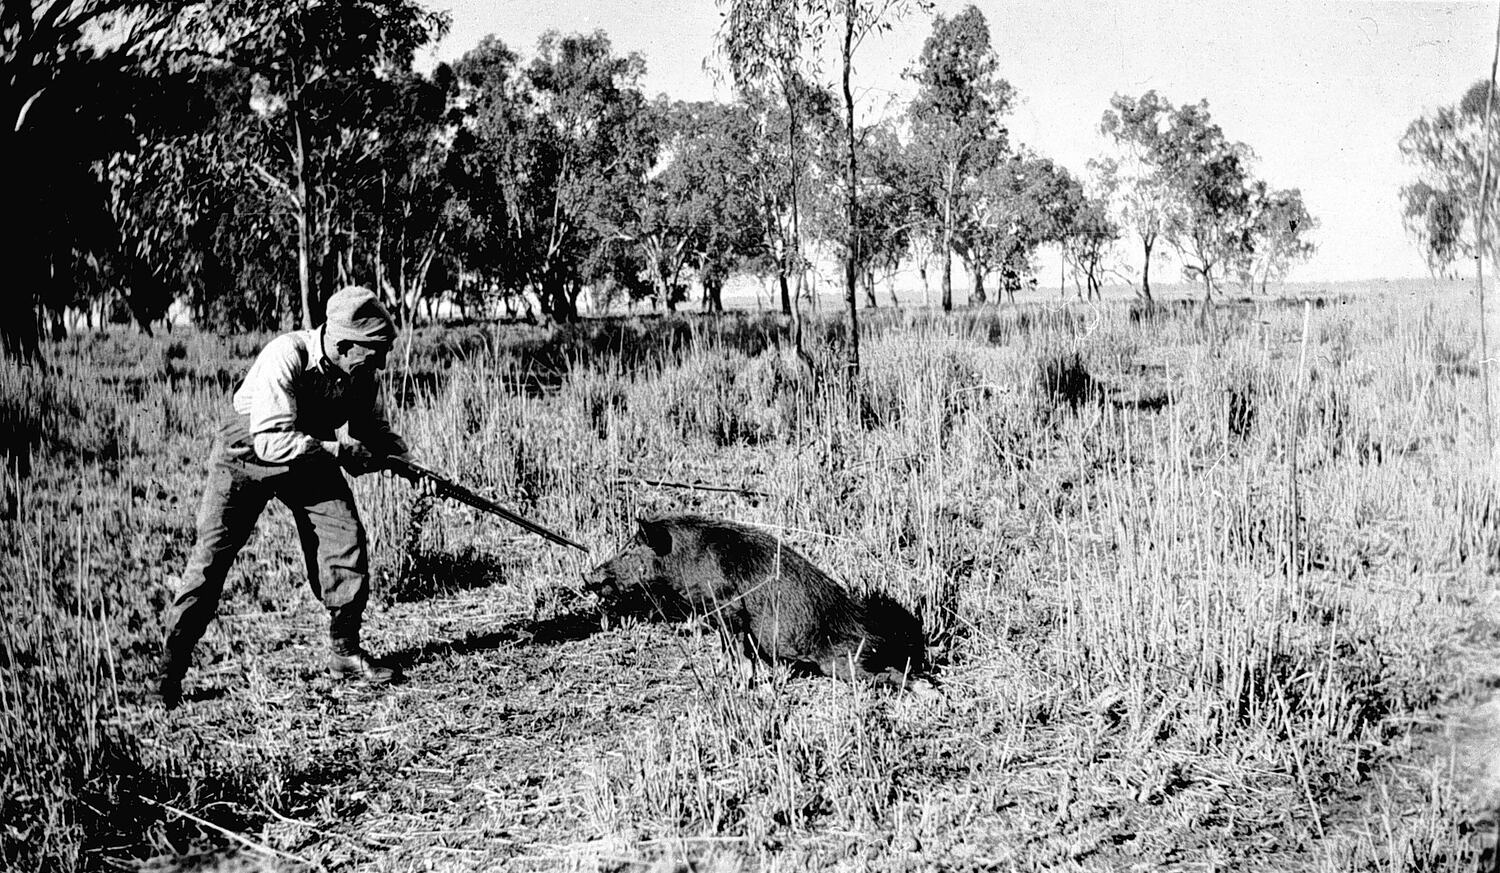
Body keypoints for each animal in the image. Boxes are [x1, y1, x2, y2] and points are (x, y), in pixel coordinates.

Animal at [585, 514, 925, 687]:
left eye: (630, 549)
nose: (589, 576)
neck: (684, 561)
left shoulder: (728, 605)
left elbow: (739, 651)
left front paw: (741, 682)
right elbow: (726, 649)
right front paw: (721, 673)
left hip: (844, 661)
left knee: (896, 674)